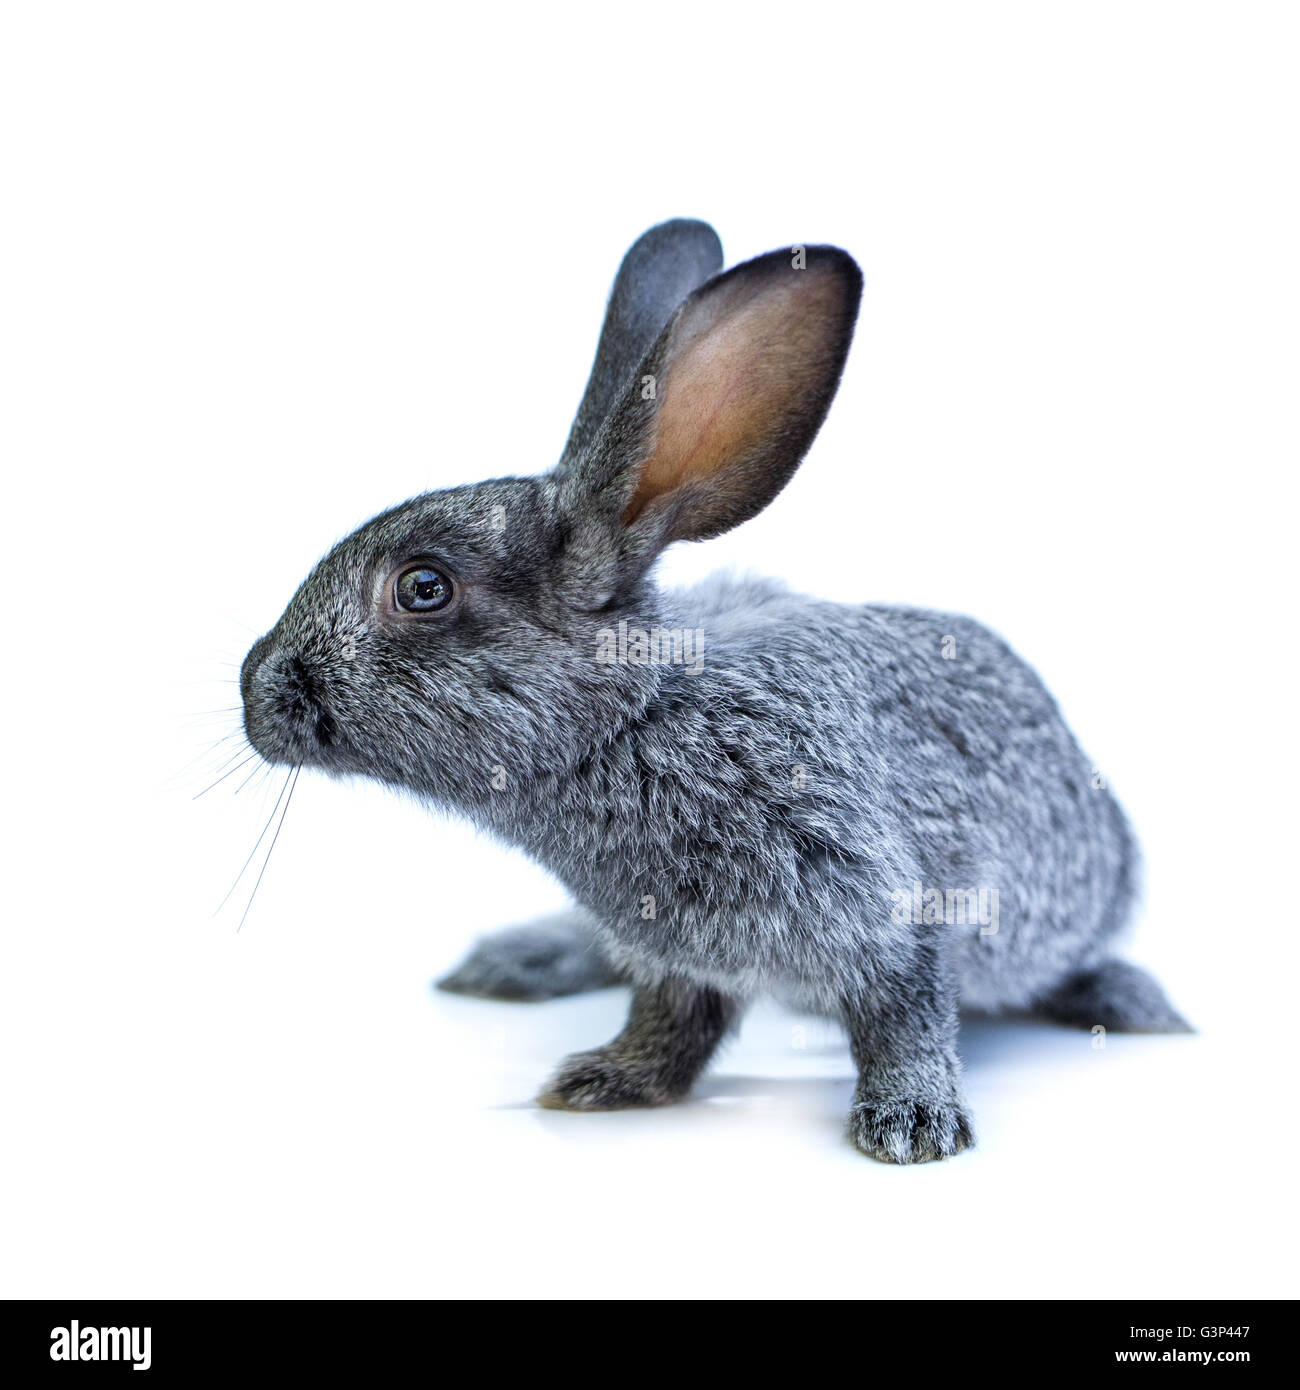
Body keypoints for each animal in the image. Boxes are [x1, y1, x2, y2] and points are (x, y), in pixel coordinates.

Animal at [240, 218, 1190, 1163]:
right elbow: (672, 1024)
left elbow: (906, 1015)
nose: (255, 692)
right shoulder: (678, 960)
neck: (639, 718)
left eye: (423, 587)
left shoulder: (887, 909)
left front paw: (912, 1125)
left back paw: (1134, 1004)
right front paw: (605, 1081)